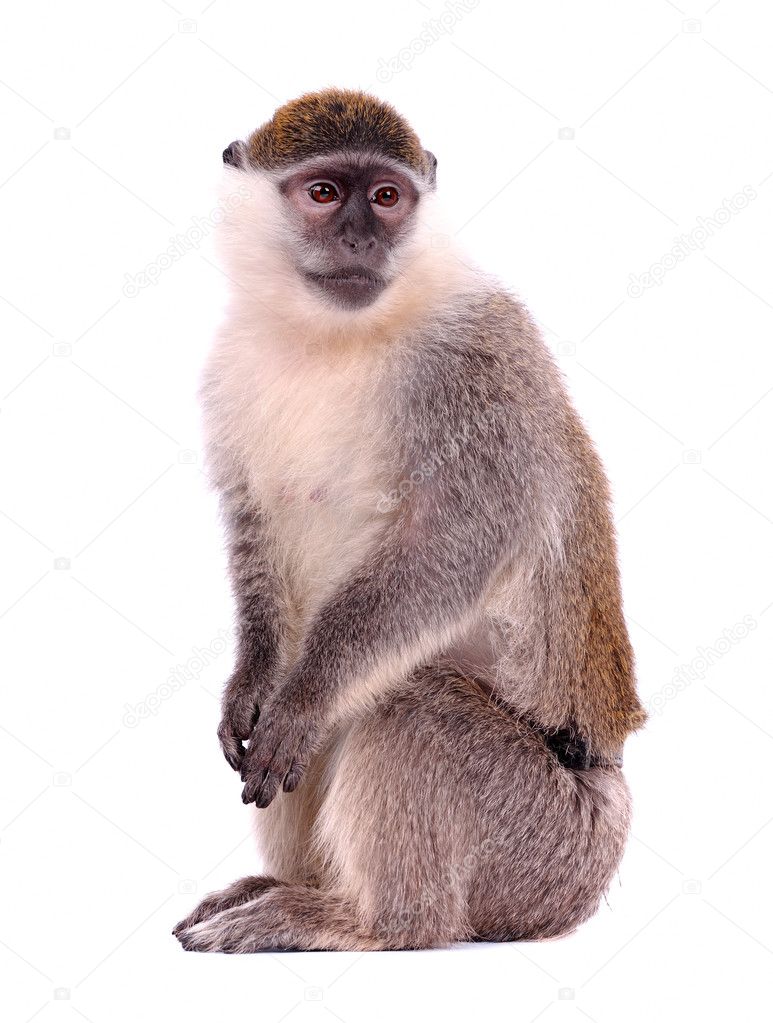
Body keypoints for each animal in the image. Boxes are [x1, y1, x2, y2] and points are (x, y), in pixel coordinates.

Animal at [173, 88, 646, 953]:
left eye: (387, 196)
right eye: (326, 192)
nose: (361, 236)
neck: (334, 333)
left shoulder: (473, 360)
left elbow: (454, 543)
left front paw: (303, 695)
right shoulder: (228, 363)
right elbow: (254, 534)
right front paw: (250, 685)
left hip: (545, 847)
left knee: (410, 706)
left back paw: (363, 920)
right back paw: (292, 885)